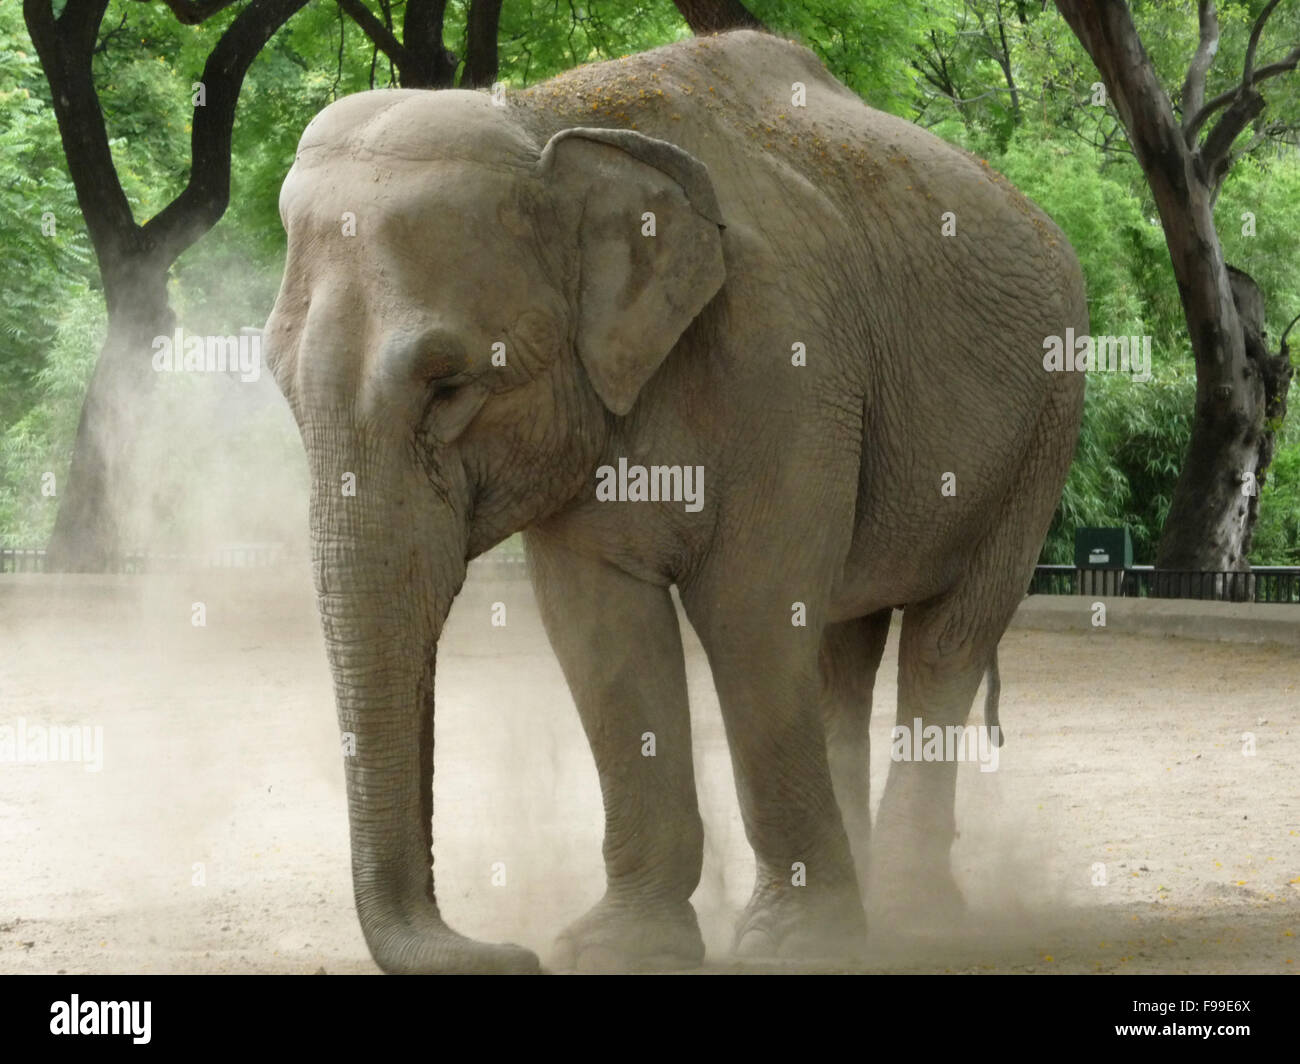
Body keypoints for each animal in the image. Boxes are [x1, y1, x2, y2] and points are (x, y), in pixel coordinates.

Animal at [264, 29, 1086, 974]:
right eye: (278, 384)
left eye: (449, 386)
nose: (511, 952)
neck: (548, 118)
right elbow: (598, 630)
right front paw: (618, 947)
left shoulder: (789, 365)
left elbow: (751, 612)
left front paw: (794, 945)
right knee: (841, 648)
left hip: (1047, 425)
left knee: (946, 640)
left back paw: (916, 917)